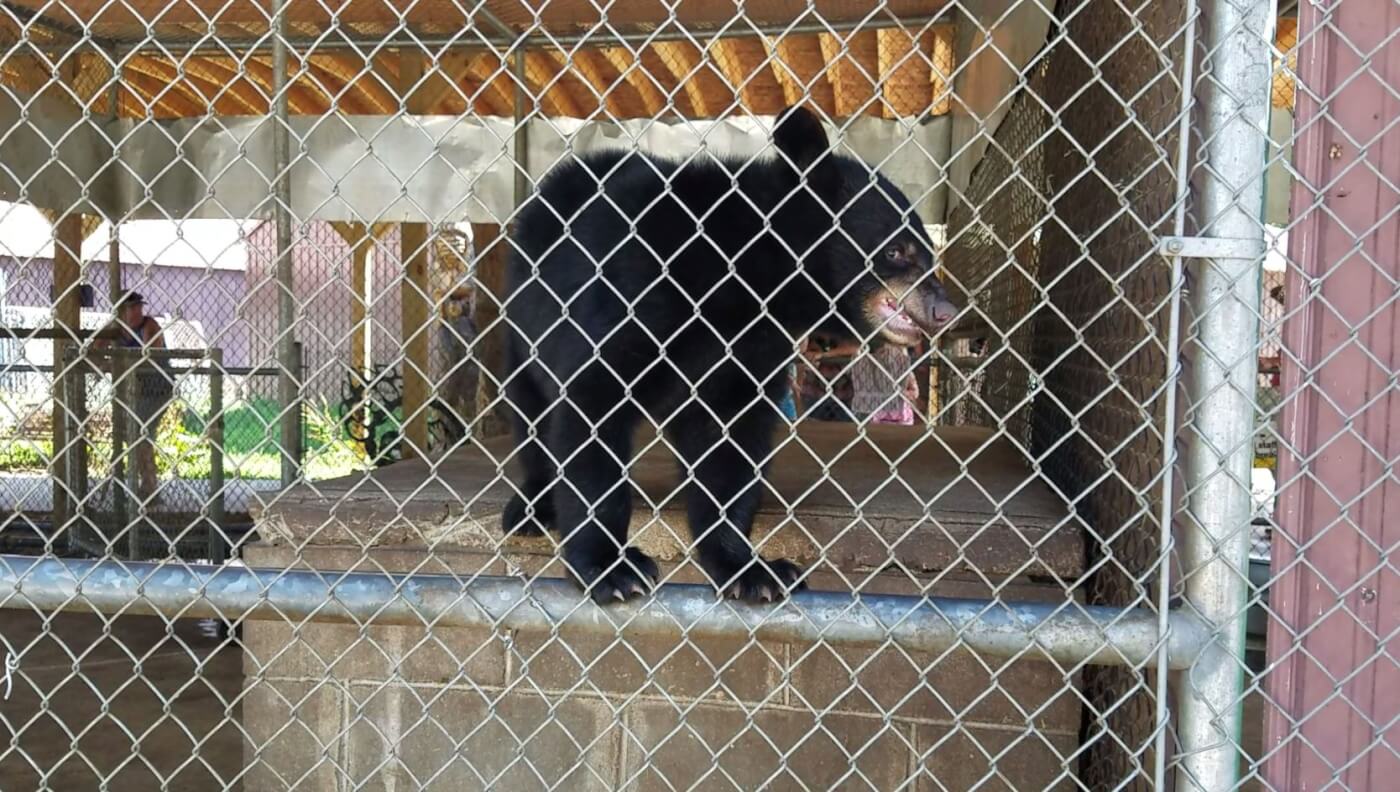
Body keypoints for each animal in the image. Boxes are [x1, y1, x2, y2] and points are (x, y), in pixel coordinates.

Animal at [496, 105, 958, 605]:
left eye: (928, 253)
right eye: (896, 250)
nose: (946, 311)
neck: (742, 278)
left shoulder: (752, 350)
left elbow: (730, 443)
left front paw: (750, 568)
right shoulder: (634, 292)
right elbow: (592, 407)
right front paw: (611, 567)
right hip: (523, 323)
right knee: (532, 414)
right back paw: (532, 506)